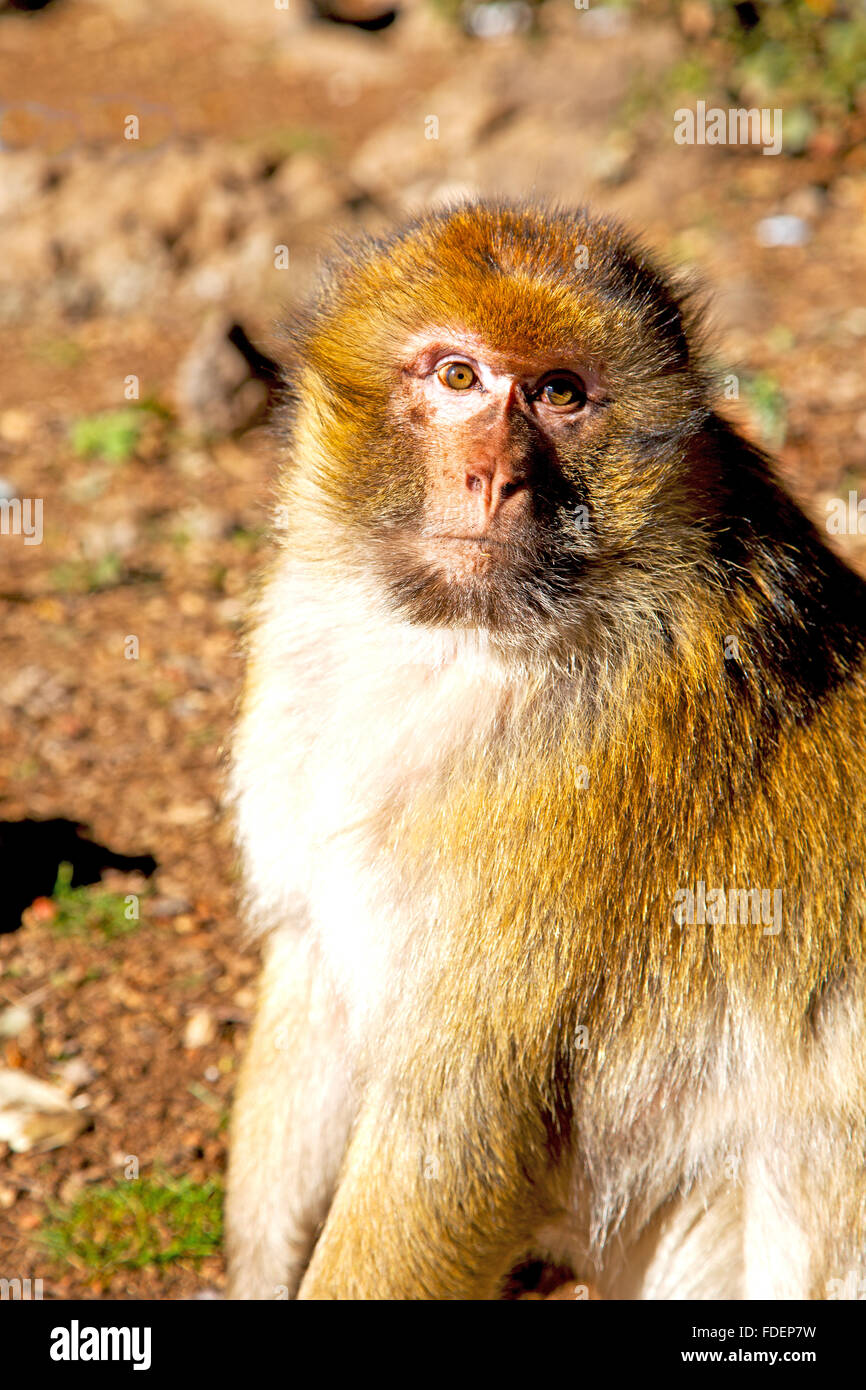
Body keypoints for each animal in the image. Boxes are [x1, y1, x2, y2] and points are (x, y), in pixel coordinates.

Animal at [225, 200, 866, 1301]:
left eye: (561, 394)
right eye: (456, 377)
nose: (496, 477)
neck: (456, 644)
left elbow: (459, 1134)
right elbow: (313, 979)